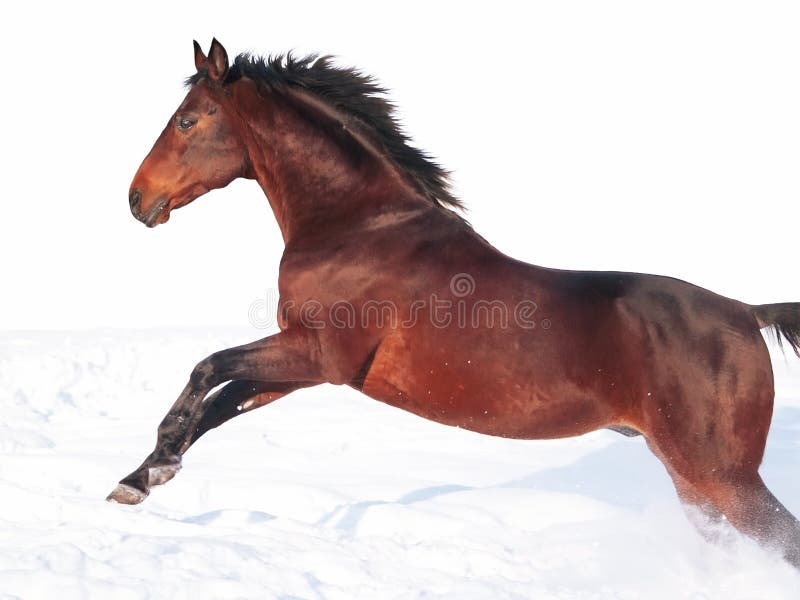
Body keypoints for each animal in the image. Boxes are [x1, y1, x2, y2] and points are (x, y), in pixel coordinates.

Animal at [109, 39, 800, 568]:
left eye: (188, 120)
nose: (138, 199)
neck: (358, 226)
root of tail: (748, 313)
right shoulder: (305, 370)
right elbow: (220, 402)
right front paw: (142, 478)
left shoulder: (318, 356)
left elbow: (208, 370)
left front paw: (152, 468)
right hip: (693, 481)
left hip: (723, 477)